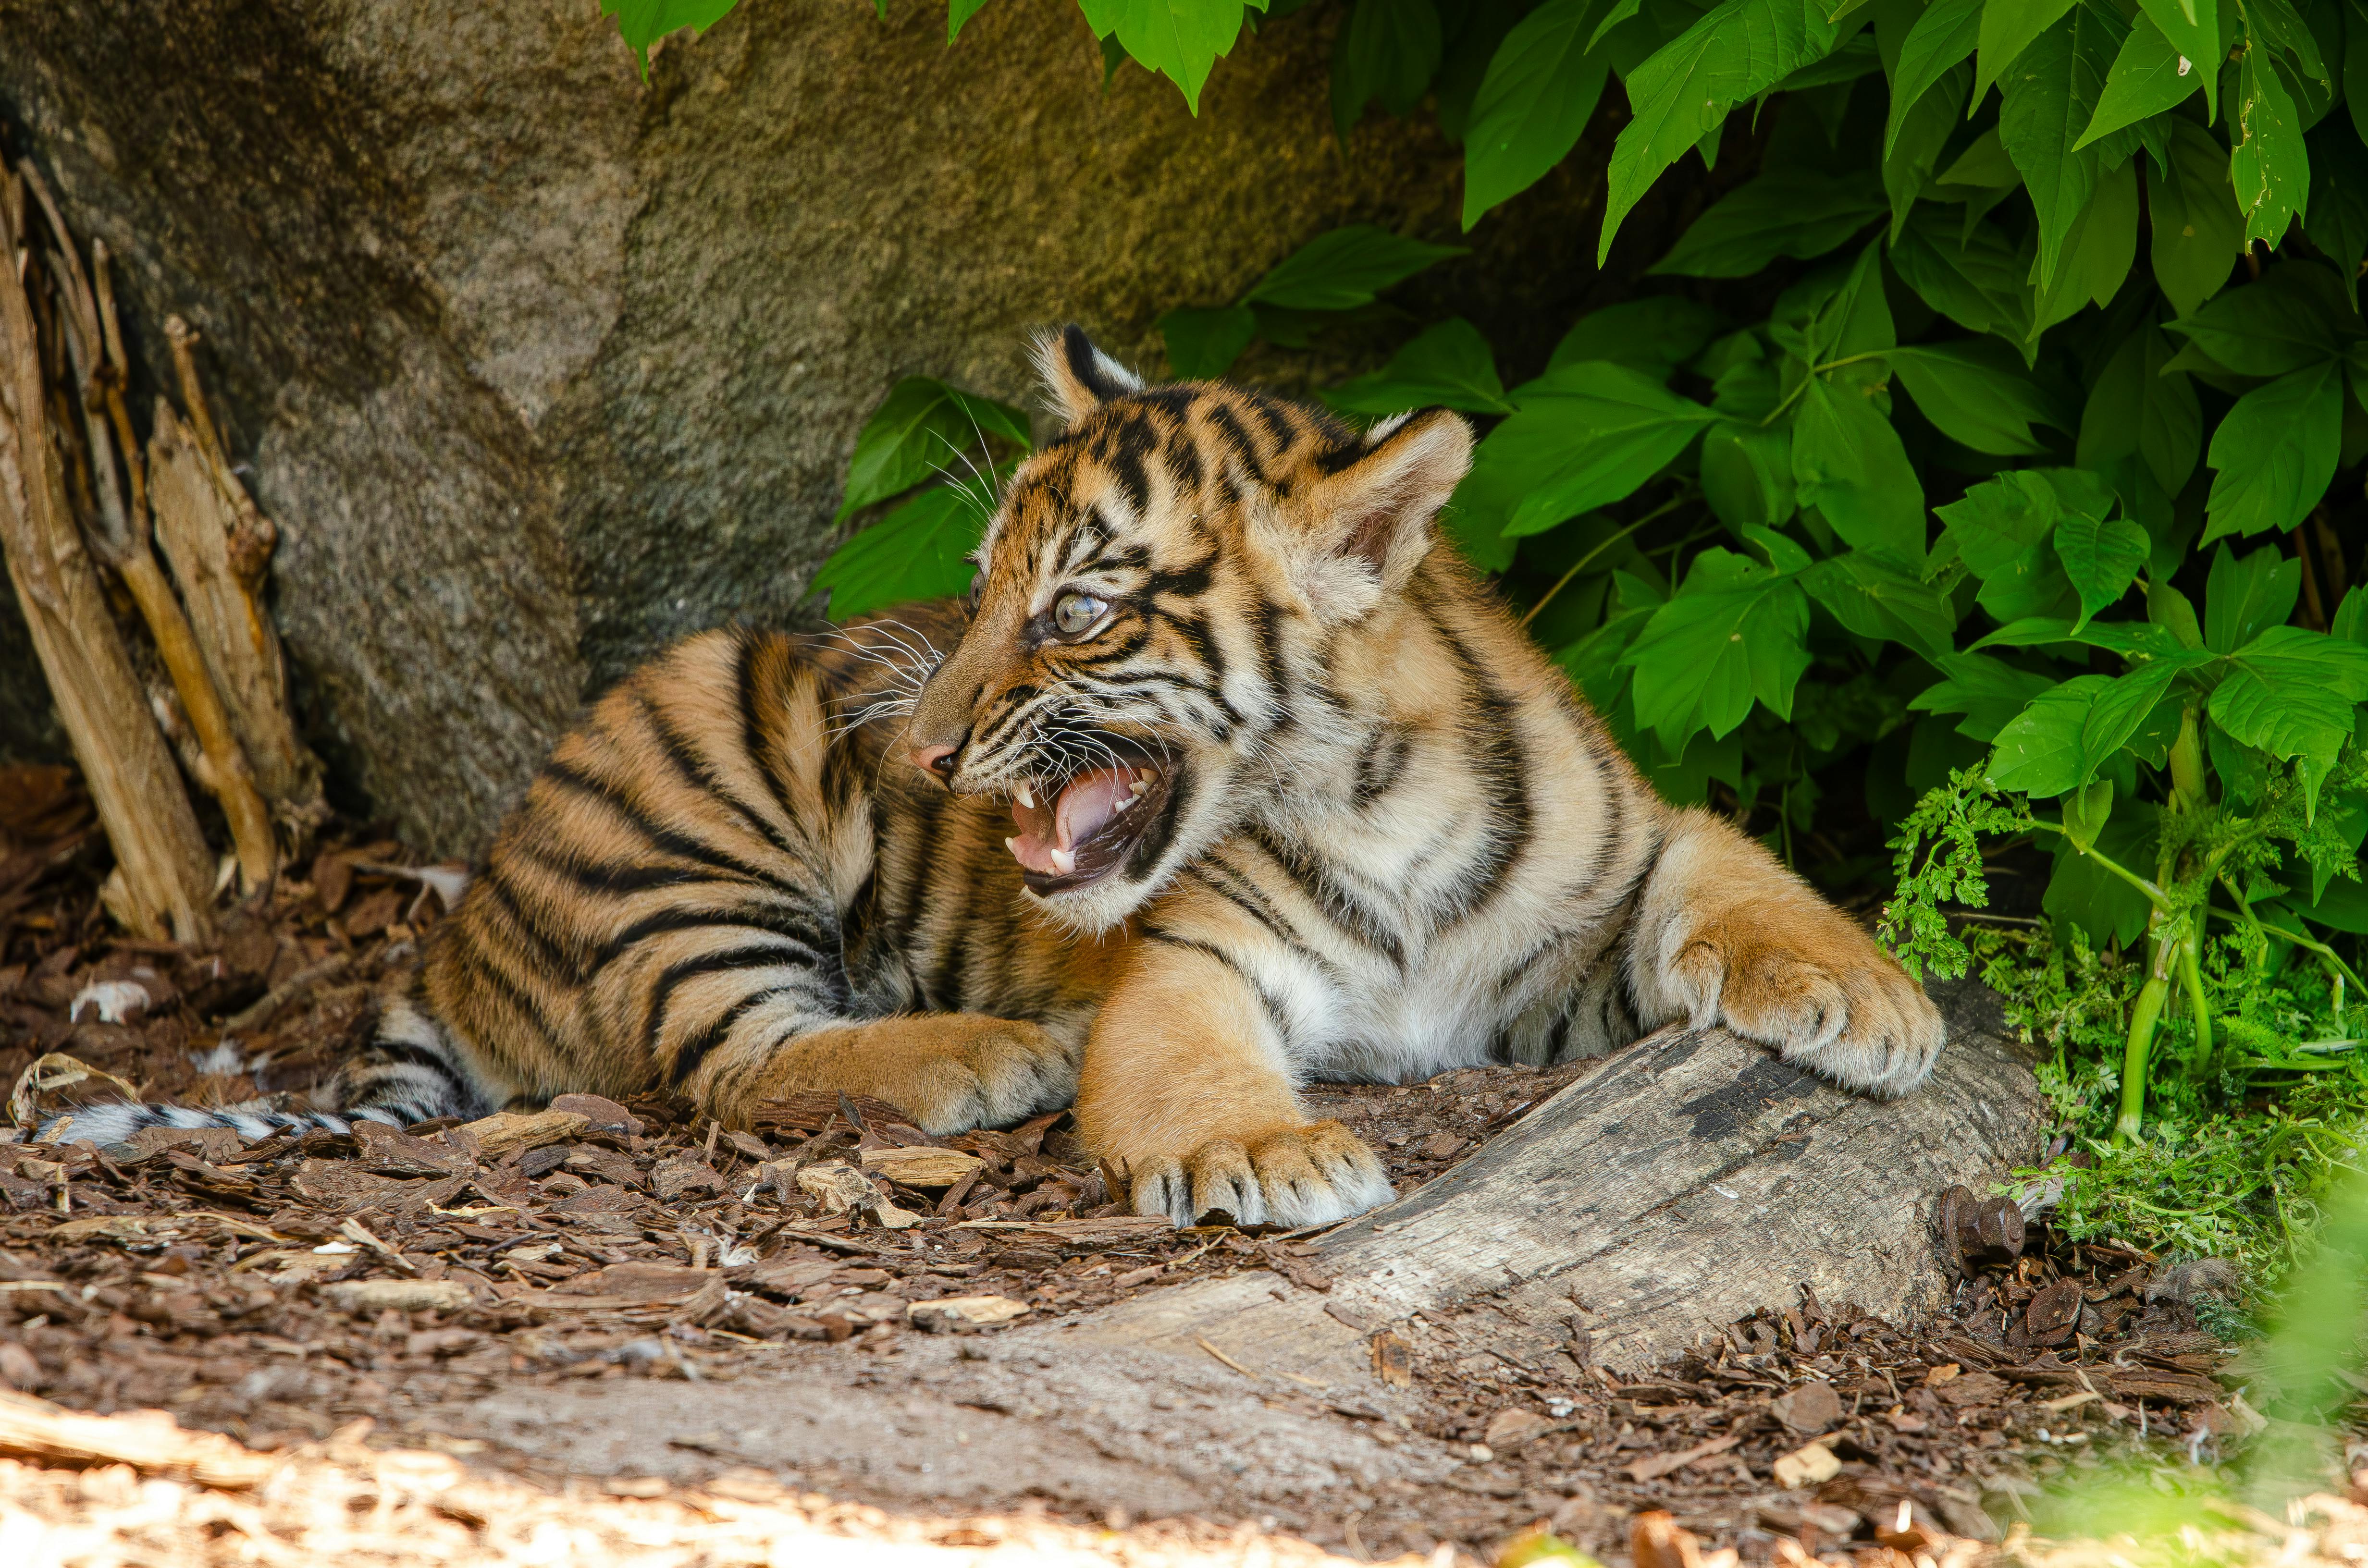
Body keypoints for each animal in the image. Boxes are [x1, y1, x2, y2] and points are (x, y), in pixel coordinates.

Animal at [49, 326, 1945, 1227]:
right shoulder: (1192, 961)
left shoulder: (1609, 880)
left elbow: (1738, 866)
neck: (1374, 802)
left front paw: (1872, 1001)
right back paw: (988, 1050)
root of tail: (455, 930)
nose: (920, 748)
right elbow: (1182, 1066)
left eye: (1078, 612)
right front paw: (1266, 1149)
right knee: (735, 1062)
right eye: (974, 588)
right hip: (693, 791)